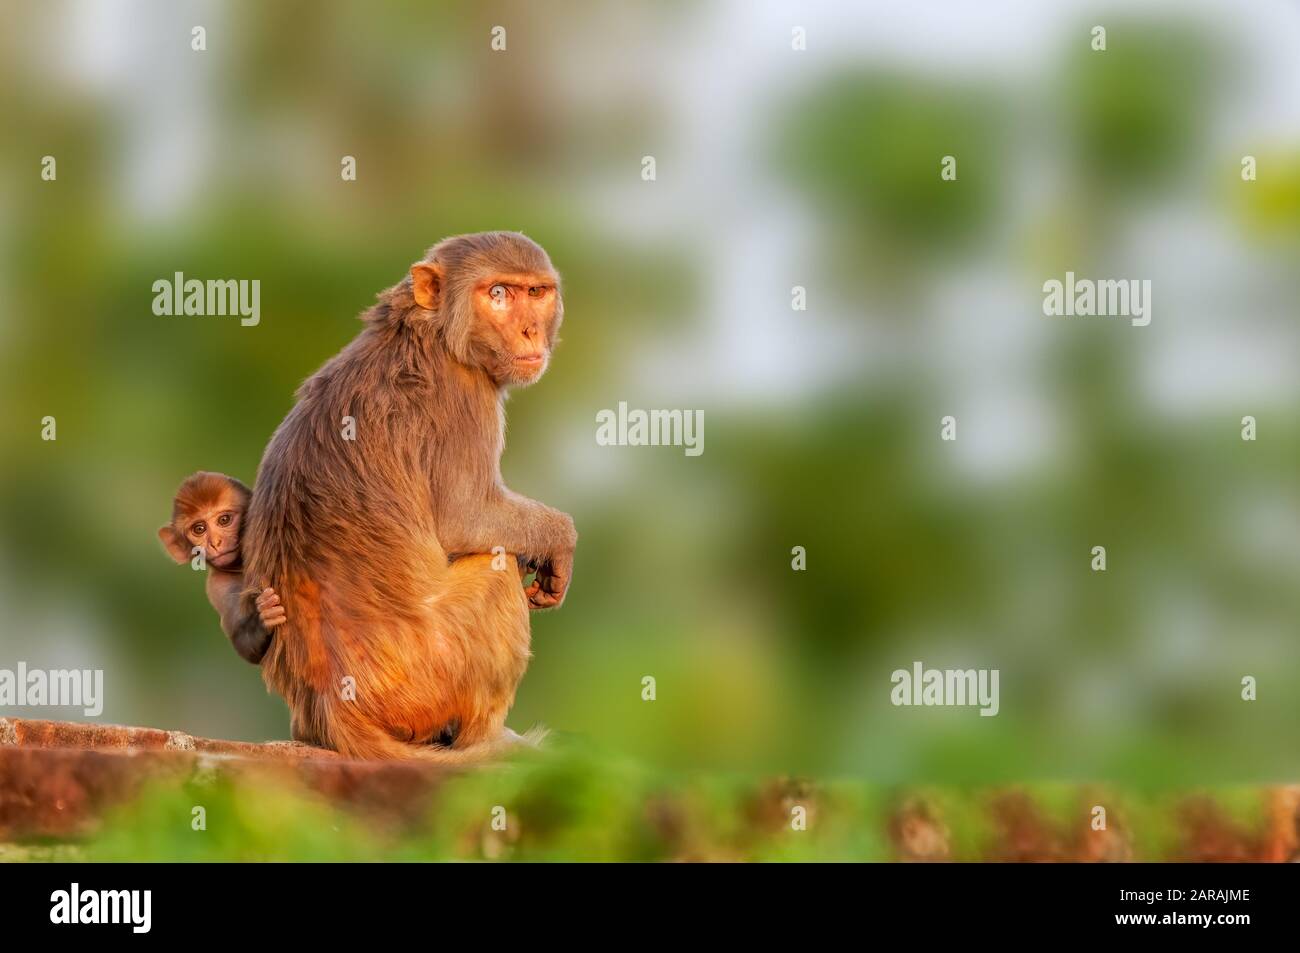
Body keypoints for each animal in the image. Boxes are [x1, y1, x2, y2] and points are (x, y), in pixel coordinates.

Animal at [158, 471, 286, 664]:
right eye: (199, 529)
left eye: (224, 520)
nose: (215, 542)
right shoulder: (218, 586)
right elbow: (244, 646)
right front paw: (264, 618)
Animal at [237, 231, 575, 762]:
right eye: (498, 293)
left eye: (536, 293)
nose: (528, 331)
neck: (427, 333)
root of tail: (330, 704)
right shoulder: (464, 396)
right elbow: (467, 517)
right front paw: (560, 541)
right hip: (421, 678)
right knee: (495, 572)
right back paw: (486, 741)